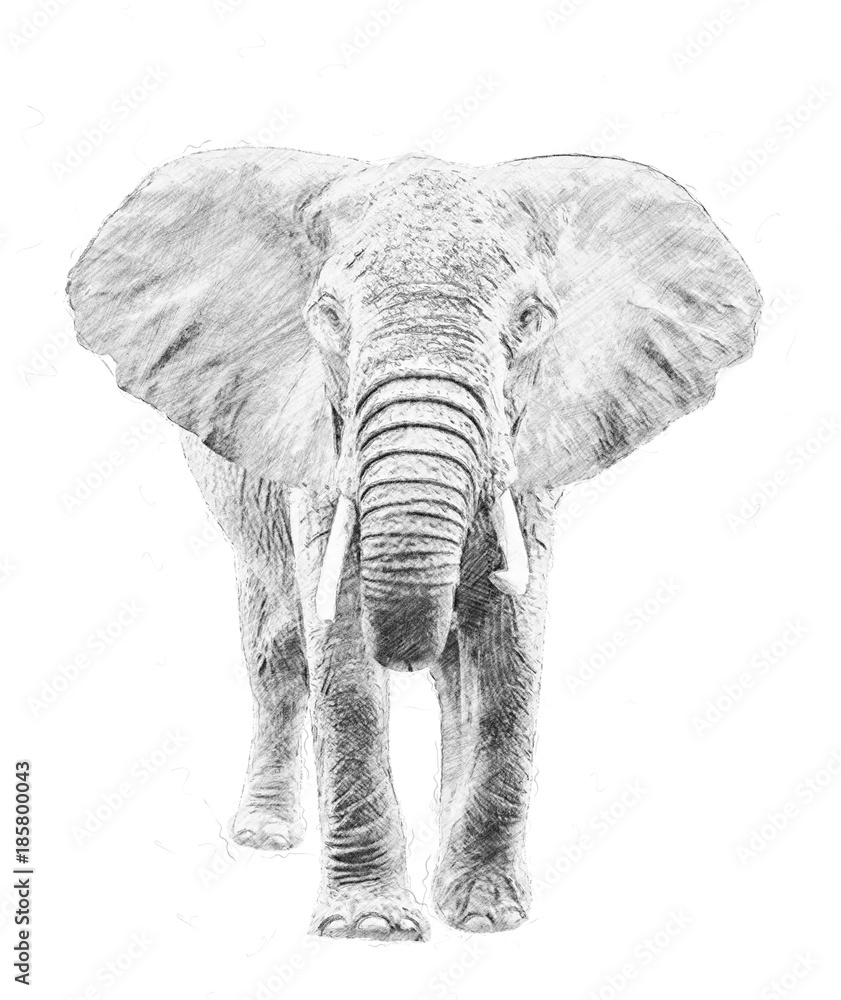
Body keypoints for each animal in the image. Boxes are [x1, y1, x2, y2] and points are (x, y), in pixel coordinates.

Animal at [67, 147, 761, 942]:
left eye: (530, 319)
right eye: (328, 315)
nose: (402, 652)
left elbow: (510, 653)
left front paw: (485, 916)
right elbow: (338, 651)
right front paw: (371, 928)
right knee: (278, 643)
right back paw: (266, 836)